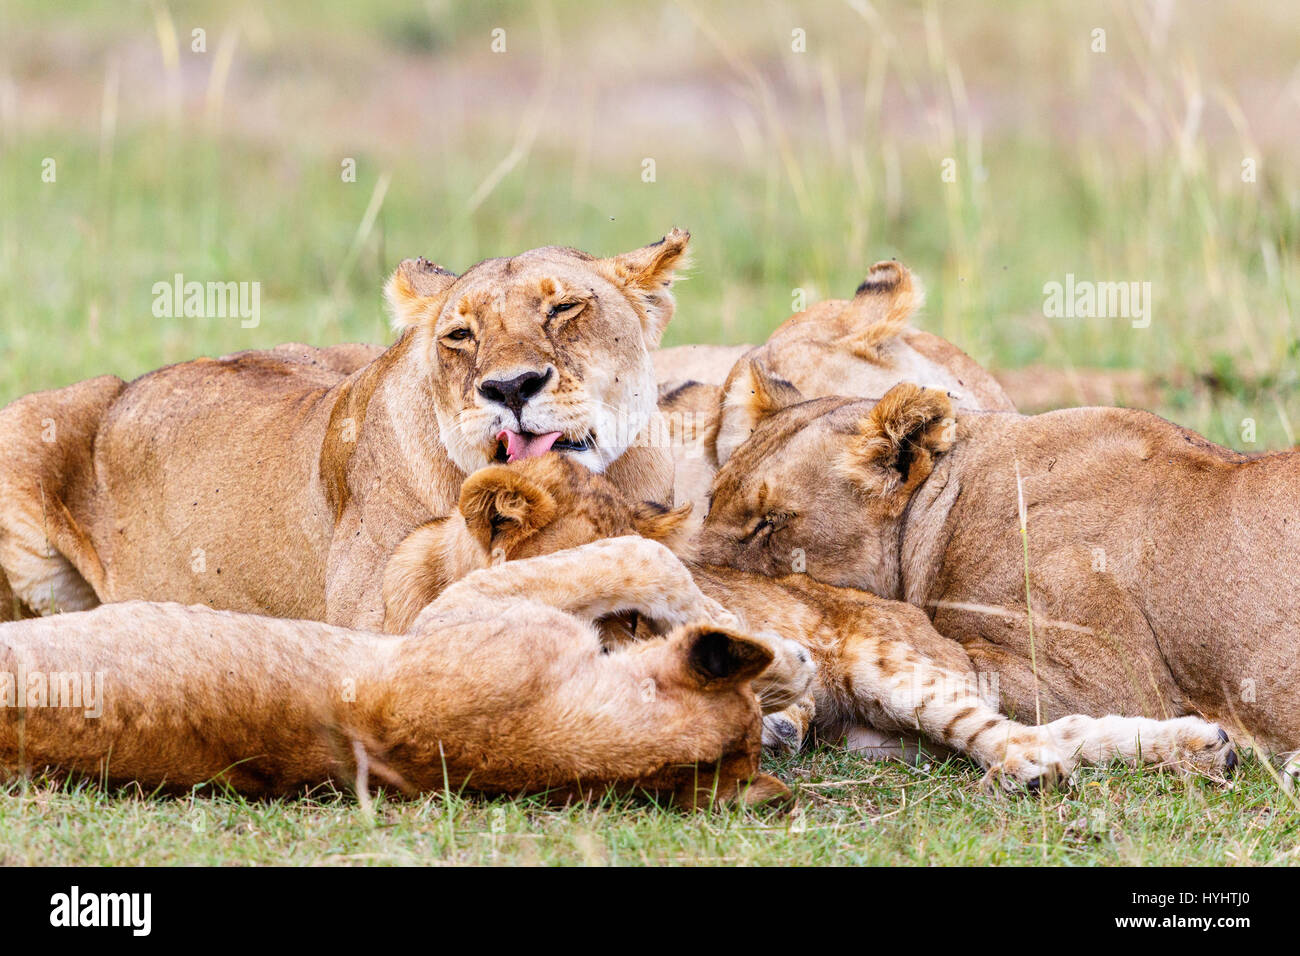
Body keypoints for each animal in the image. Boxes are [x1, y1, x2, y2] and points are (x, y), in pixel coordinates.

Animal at [382, 455, 1237, 789]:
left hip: (894, 673)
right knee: (1055, 731)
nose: (635, 668)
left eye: (637, 622)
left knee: (1025, 735)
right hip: (887, 736)